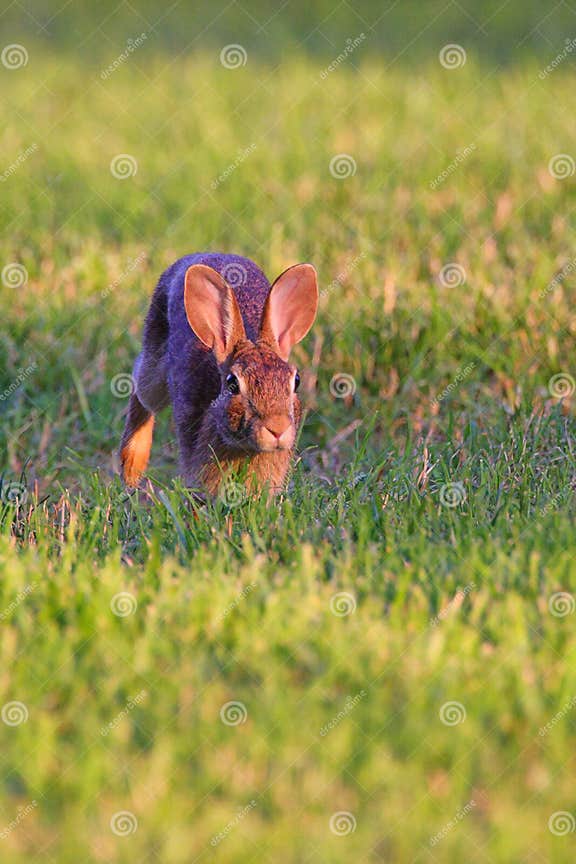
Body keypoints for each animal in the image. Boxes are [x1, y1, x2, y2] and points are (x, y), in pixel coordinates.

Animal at [119, 253, 318, 498]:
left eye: (296, 381)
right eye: (233, 384)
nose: (278, 428)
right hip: (154, 373)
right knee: (140, 386)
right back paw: (131, 468)